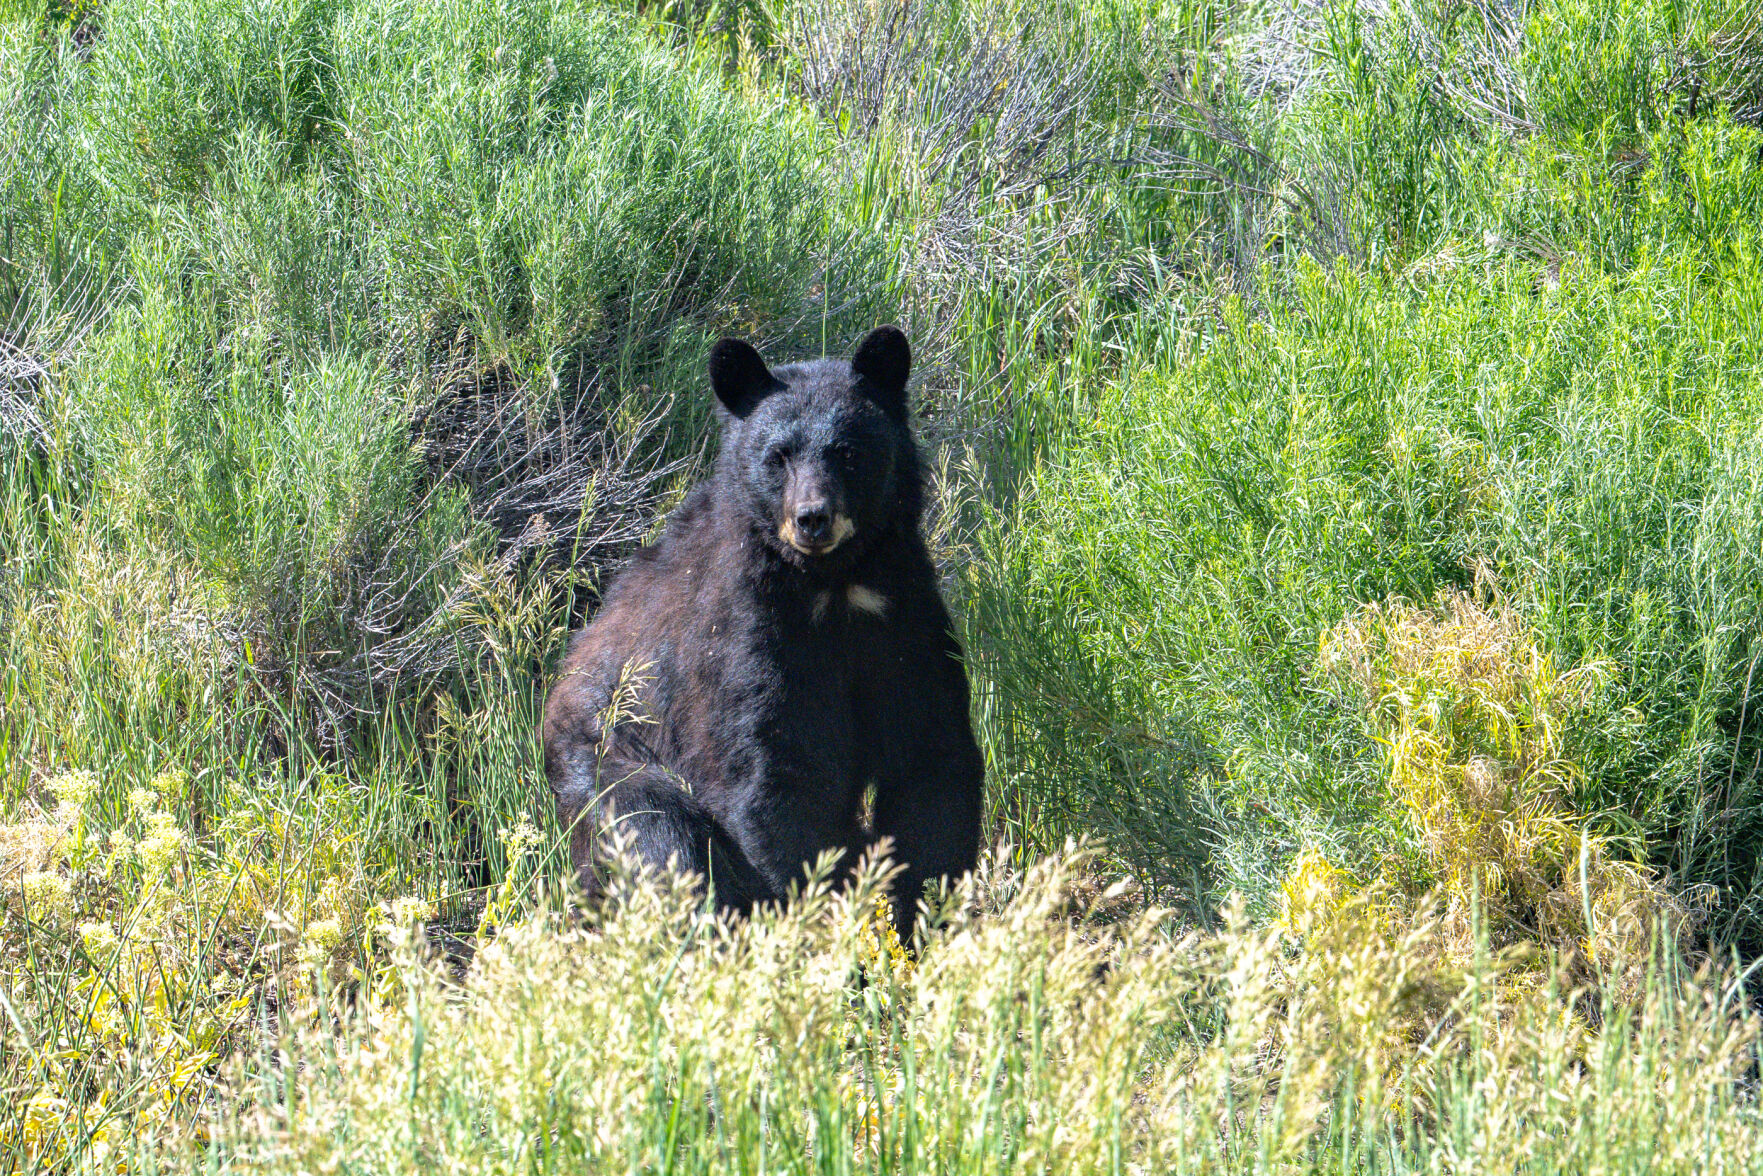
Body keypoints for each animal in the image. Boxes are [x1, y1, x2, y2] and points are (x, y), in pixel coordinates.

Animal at [542, 325, 985, 936]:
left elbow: (930, 756)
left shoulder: (903, 615)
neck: (833, 588)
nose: (812, 518)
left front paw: (919, 917)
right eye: (777, 456)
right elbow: (771, 772)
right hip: (610, 761)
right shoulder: (745, 637)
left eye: (848, 452)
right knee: (664, 840)